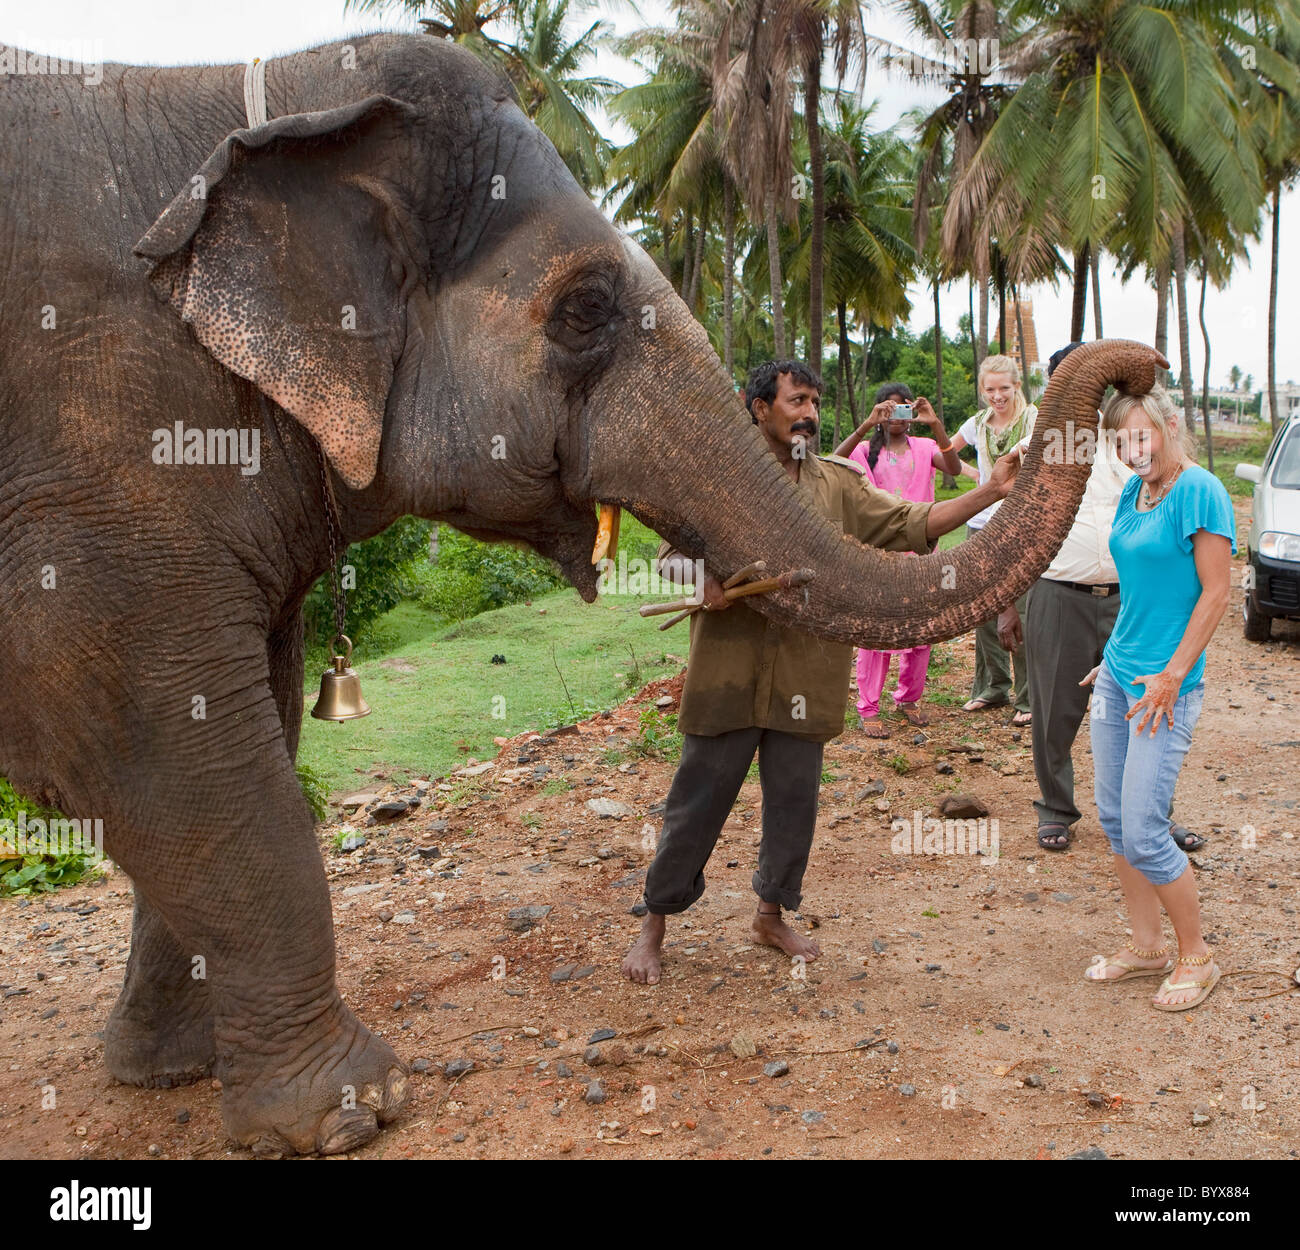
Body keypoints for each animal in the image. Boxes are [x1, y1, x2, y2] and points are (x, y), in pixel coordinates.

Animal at [0, 31, 1168, 1154]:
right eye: (585, 309)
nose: (1140, 365)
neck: (276, 89)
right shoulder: (96, 463)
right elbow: (151, 731)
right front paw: (353, 1112)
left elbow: (247, 723)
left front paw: (173, 1074)